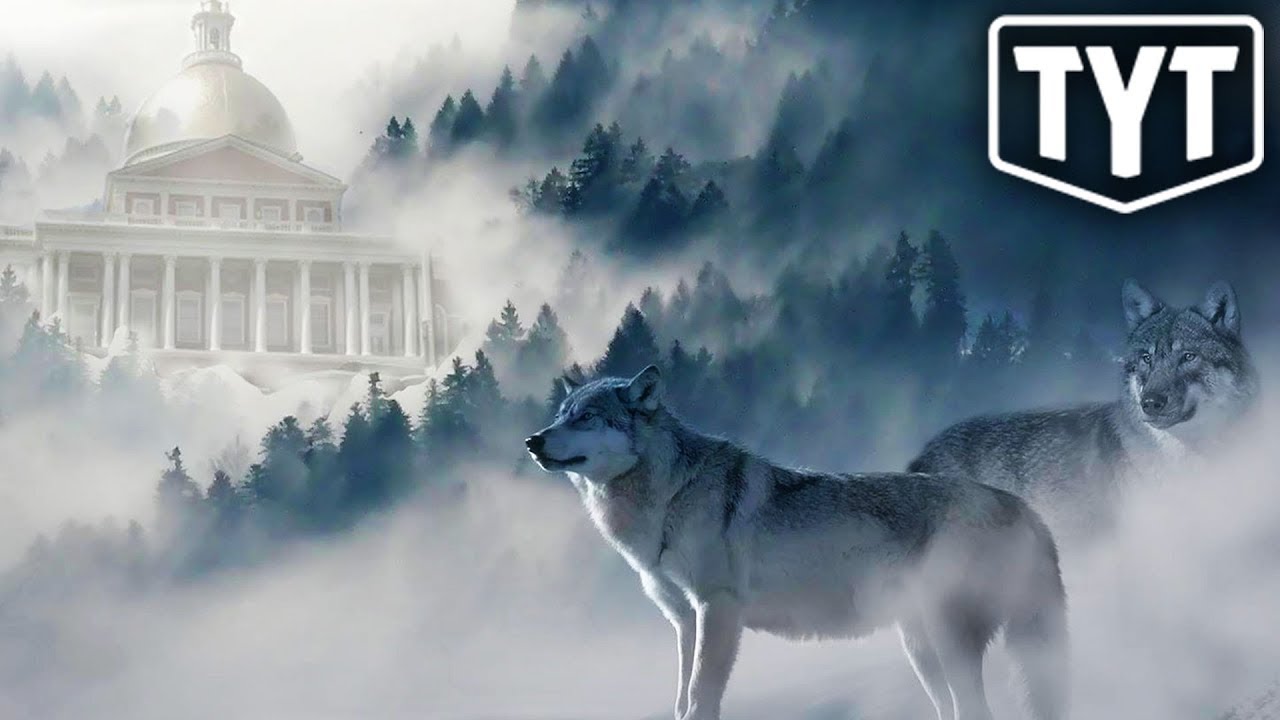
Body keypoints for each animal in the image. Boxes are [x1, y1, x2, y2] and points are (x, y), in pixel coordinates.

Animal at [526, 366, 1068, 720]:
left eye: (586, 417)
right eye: (561, 415)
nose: (533, 440)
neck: (668, 496)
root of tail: (1022, 506)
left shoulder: (718, 609)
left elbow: (701, 698)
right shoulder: (684, 620)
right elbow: (680, 700)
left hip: (947, 640)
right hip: (921, 649)